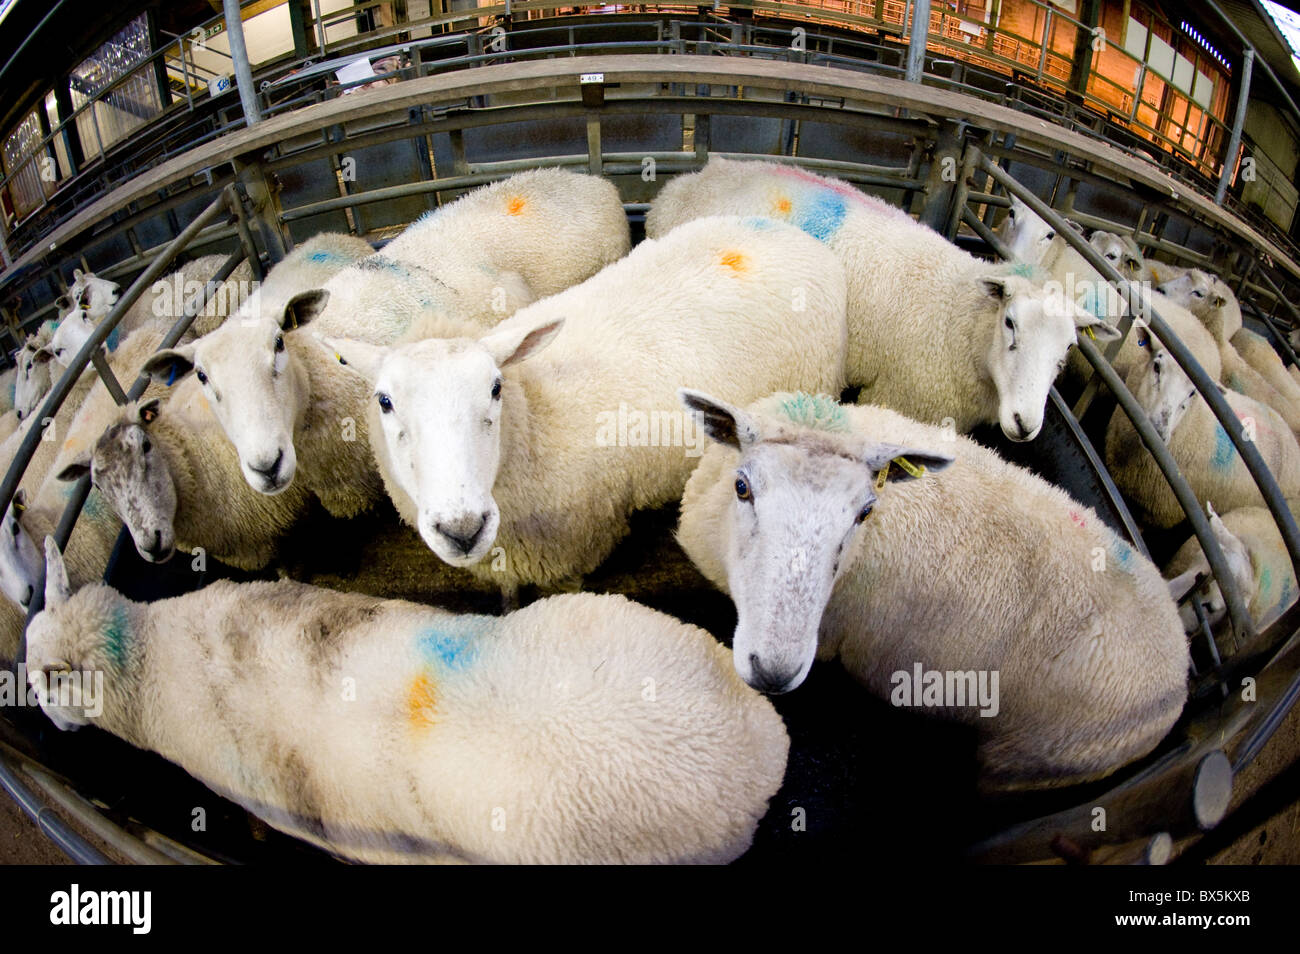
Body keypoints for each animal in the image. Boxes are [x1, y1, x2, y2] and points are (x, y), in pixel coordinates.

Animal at [320, 214, 849, 594]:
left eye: (495, 388)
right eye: (385, 401)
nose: (462, 527)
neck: (537, 416)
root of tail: (793, 232)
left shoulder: (573, 547)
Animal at [645, 157, 1120, 440]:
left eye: (1068, 350)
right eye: (1010, 323)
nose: (1025, 423)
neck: (955, 312)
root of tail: (696, 176)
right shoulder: (901, 396)